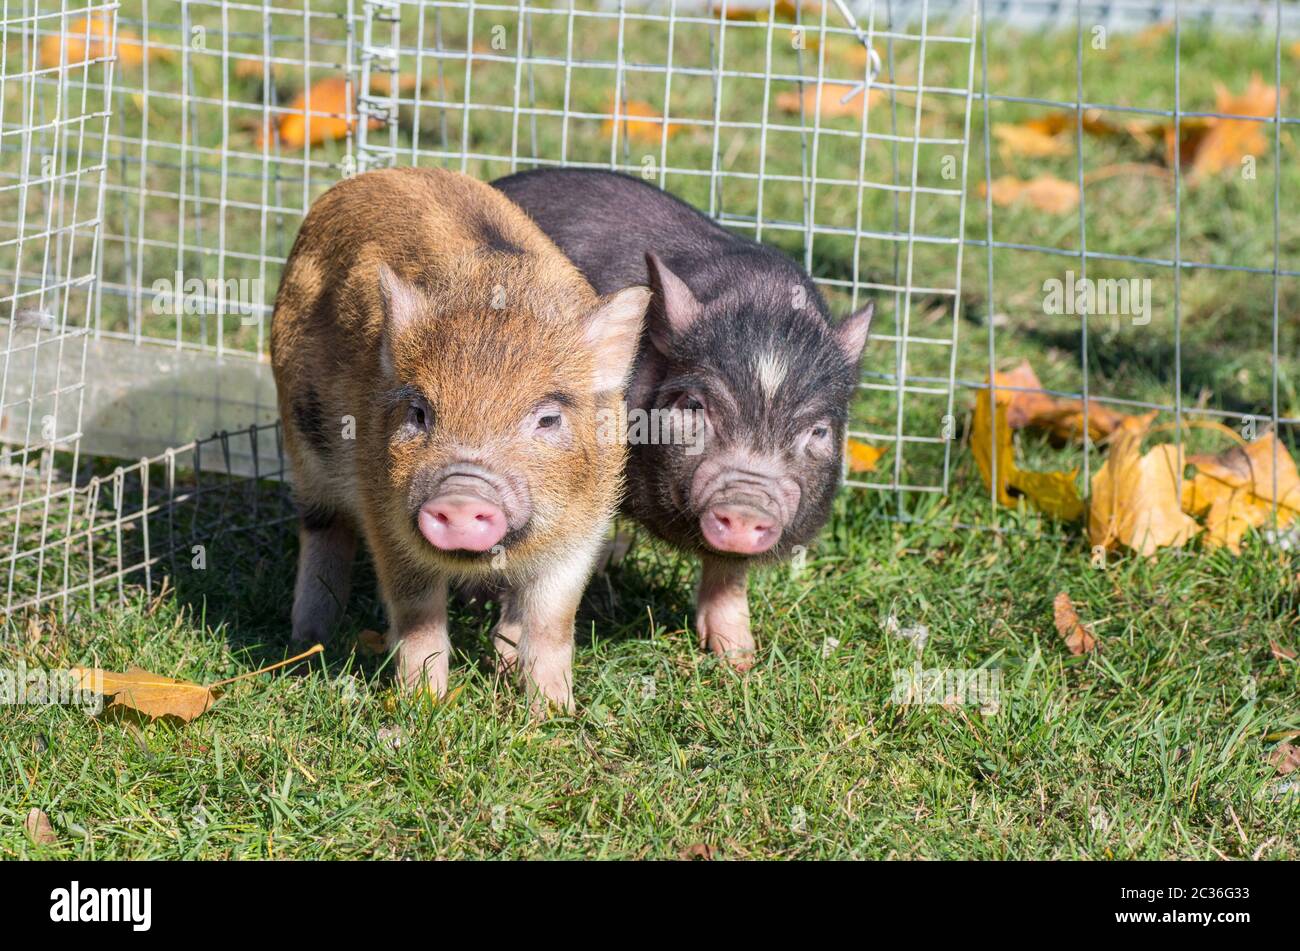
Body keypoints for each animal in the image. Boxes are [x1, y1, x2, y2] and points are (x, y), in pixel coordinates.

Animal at [270, 166, 650, 713]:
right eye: (419, 412)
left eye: (548, 419)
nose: (461, 494)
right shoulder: (385, 514)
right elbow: (418, 619)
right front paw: (423, 705)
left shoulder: (585, 527)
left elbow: (552, 623)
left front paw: (552, 713)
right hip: (302, 434)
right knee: (323, 529)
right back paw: (307, 643)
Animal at [493, 169, 872, 671]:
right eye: (694, 406)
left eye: (819, 431)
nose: (747, 505)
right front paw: (506, 663)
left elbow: (729, 572)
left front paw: (739, 660)